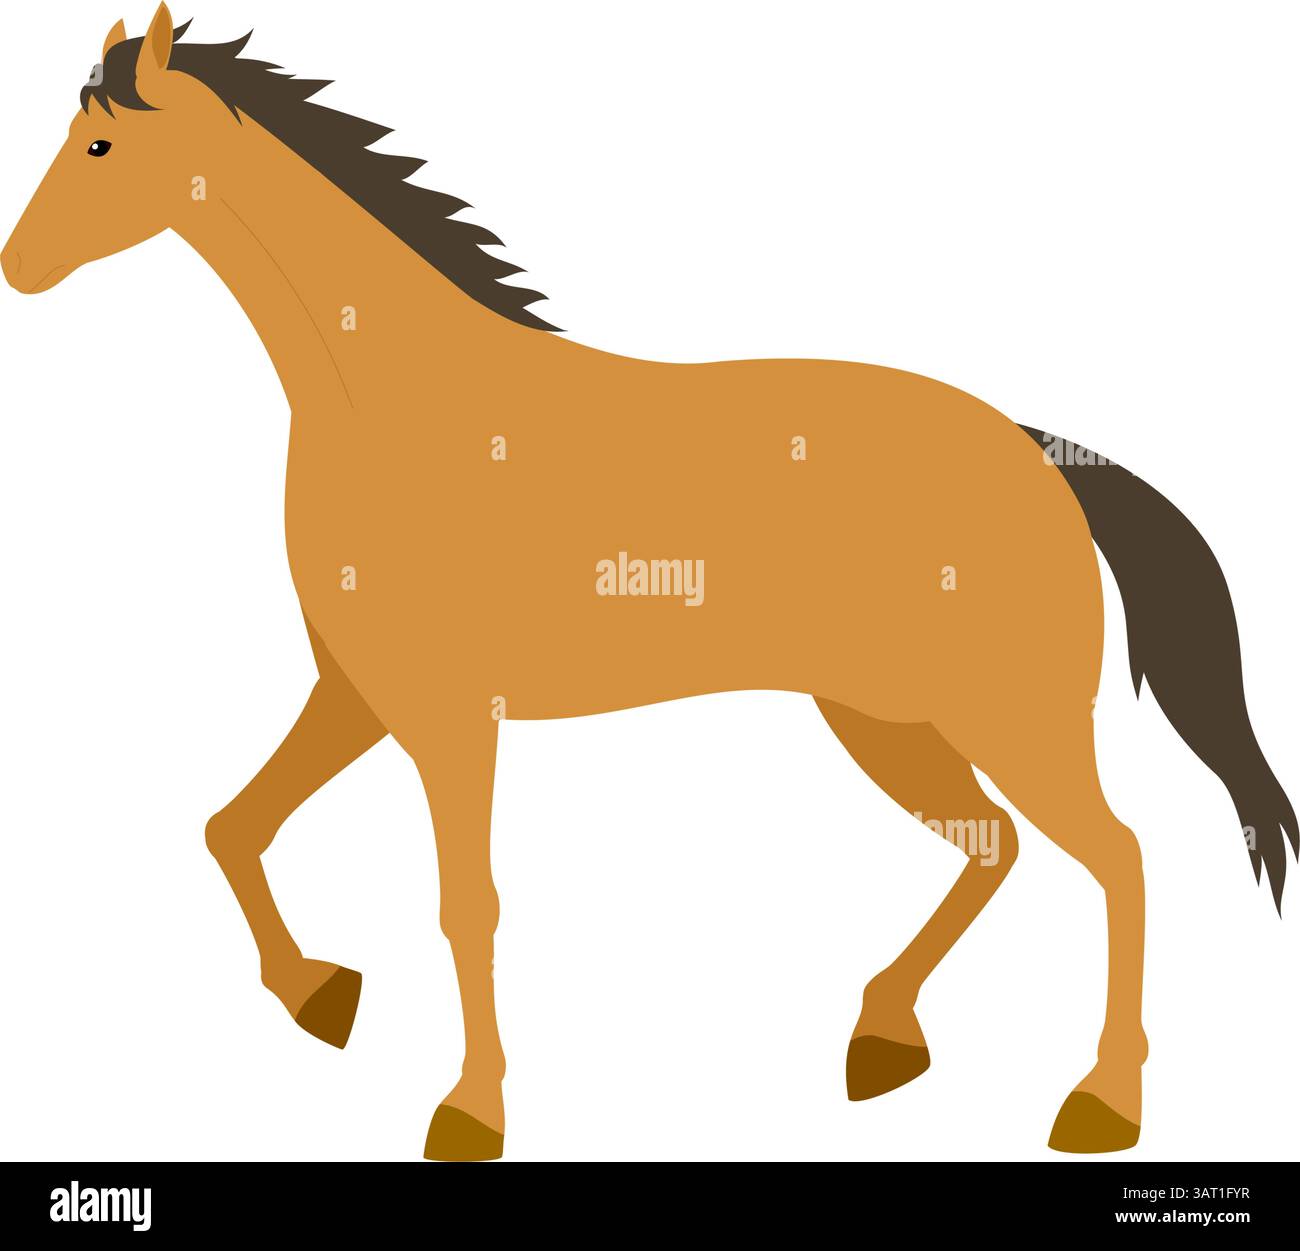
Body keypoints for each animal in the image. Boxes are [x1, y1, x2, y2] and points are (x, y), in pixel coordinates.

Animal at [4, 6, 1293, 1161]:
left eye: (100, 147)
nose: (18, 267)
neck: (398, 400)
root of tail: (1040, 454)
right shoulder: (360, 694)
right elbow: (233, 826)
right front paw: (322, 996)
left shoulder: (448, 721)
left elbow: (465, 903)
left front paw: (470, 1112)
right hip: (881, 719)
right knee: (995, 846)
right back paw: (882, 1038)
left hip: (1007, 717)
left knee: (1116, 856)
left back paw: (1101, 1104)